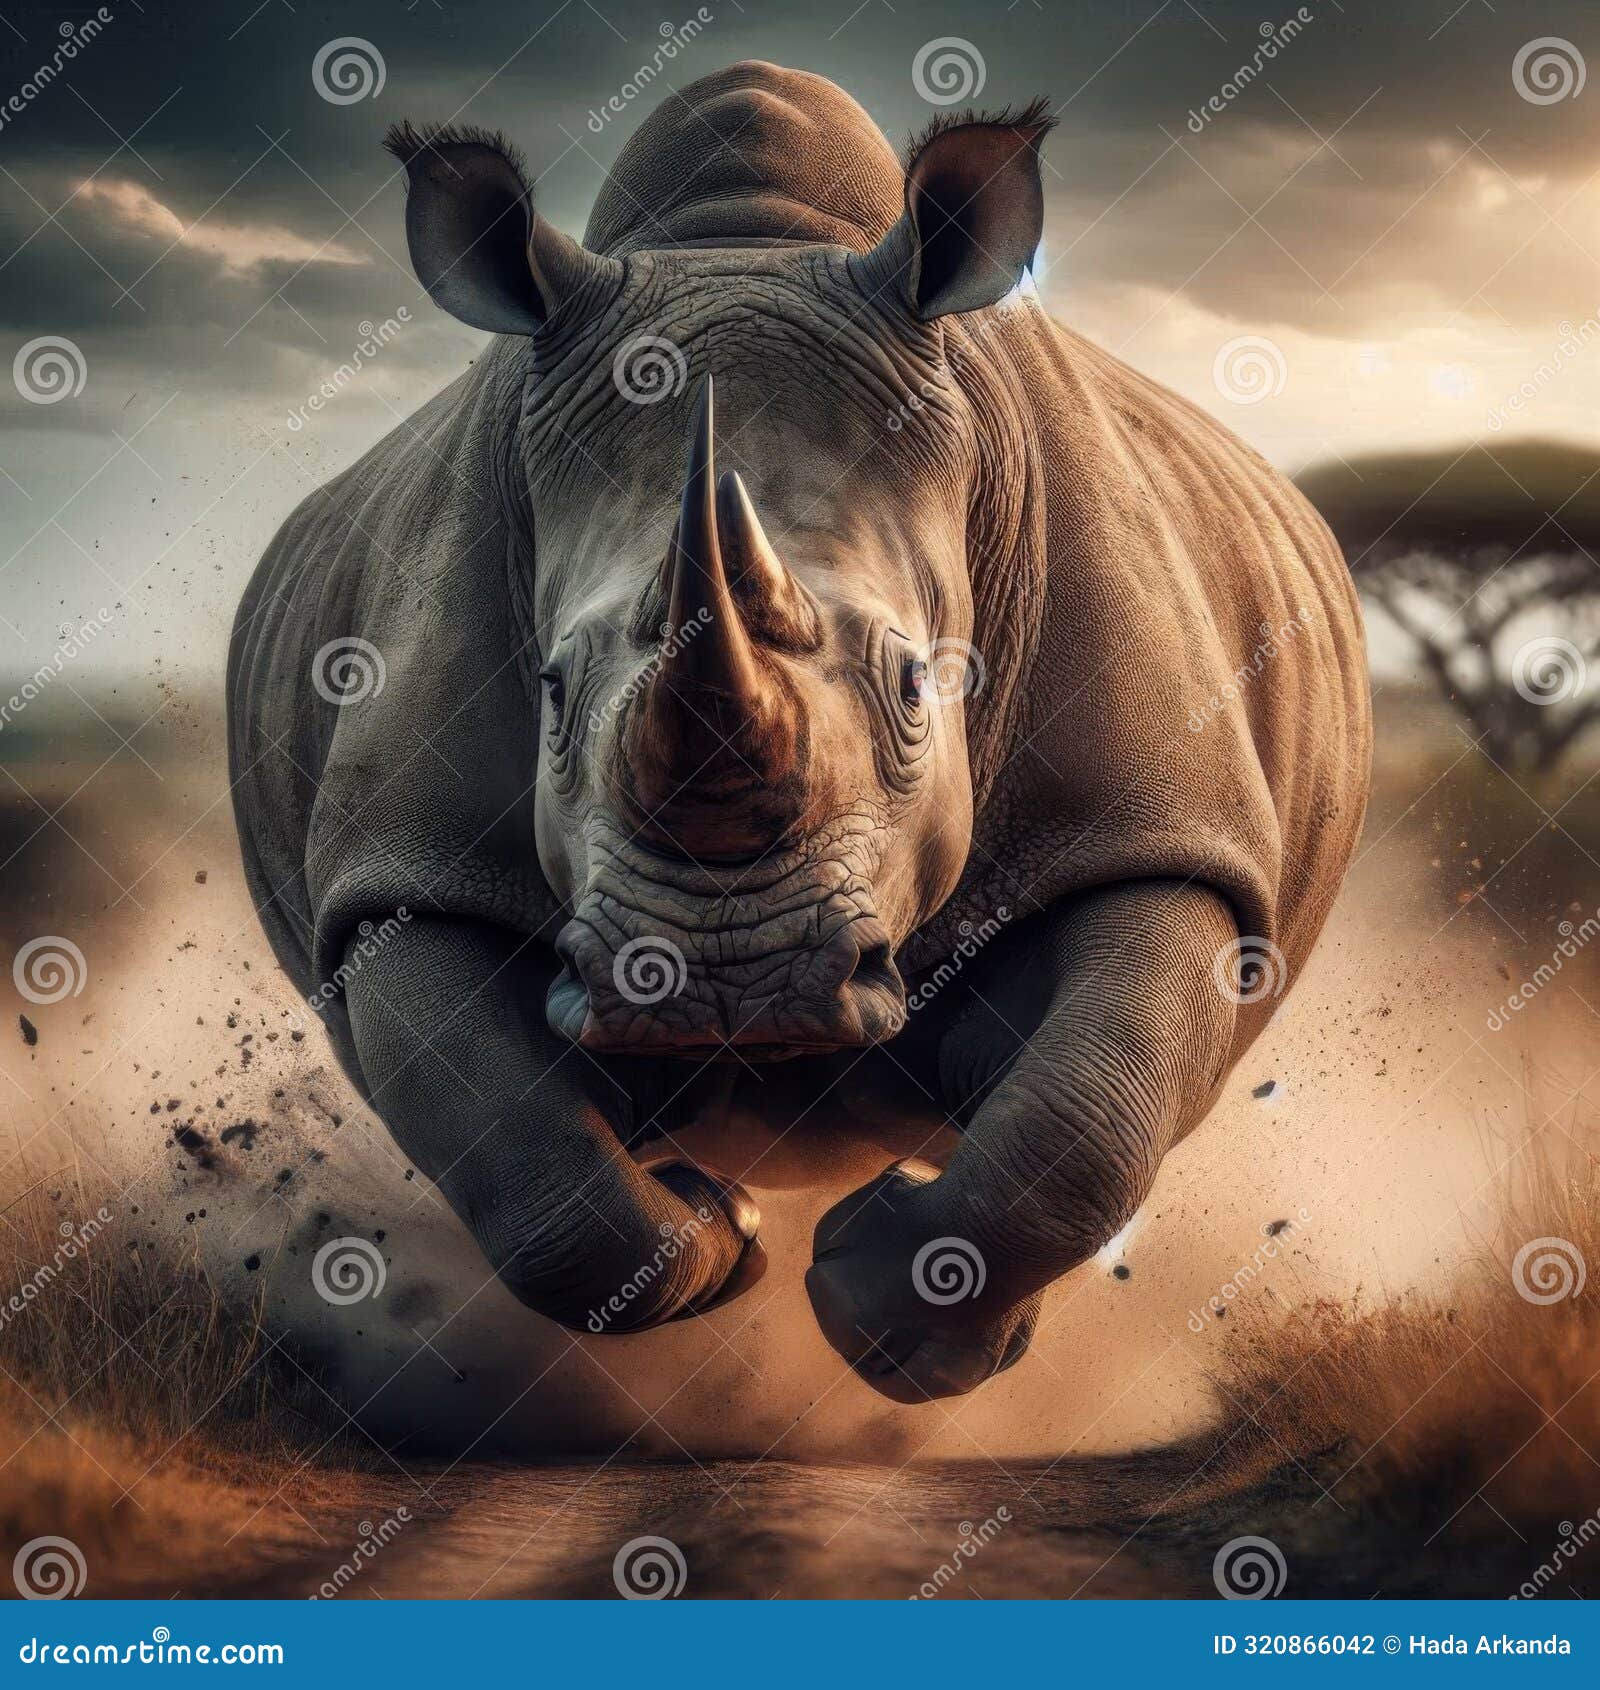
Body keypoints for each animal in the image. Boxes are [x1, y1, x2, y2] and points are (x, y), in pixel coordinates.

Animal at [228, 61, 1370, 1402]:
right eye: (551, 694)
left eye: (920, 690)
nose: (726, 981)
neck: (752, 240)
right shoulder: (406, 856)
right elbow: (525, 1172)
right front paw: (714, 1233)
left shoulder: (1152, 817)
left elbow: (1089, 1118)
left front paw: (884, 1299)